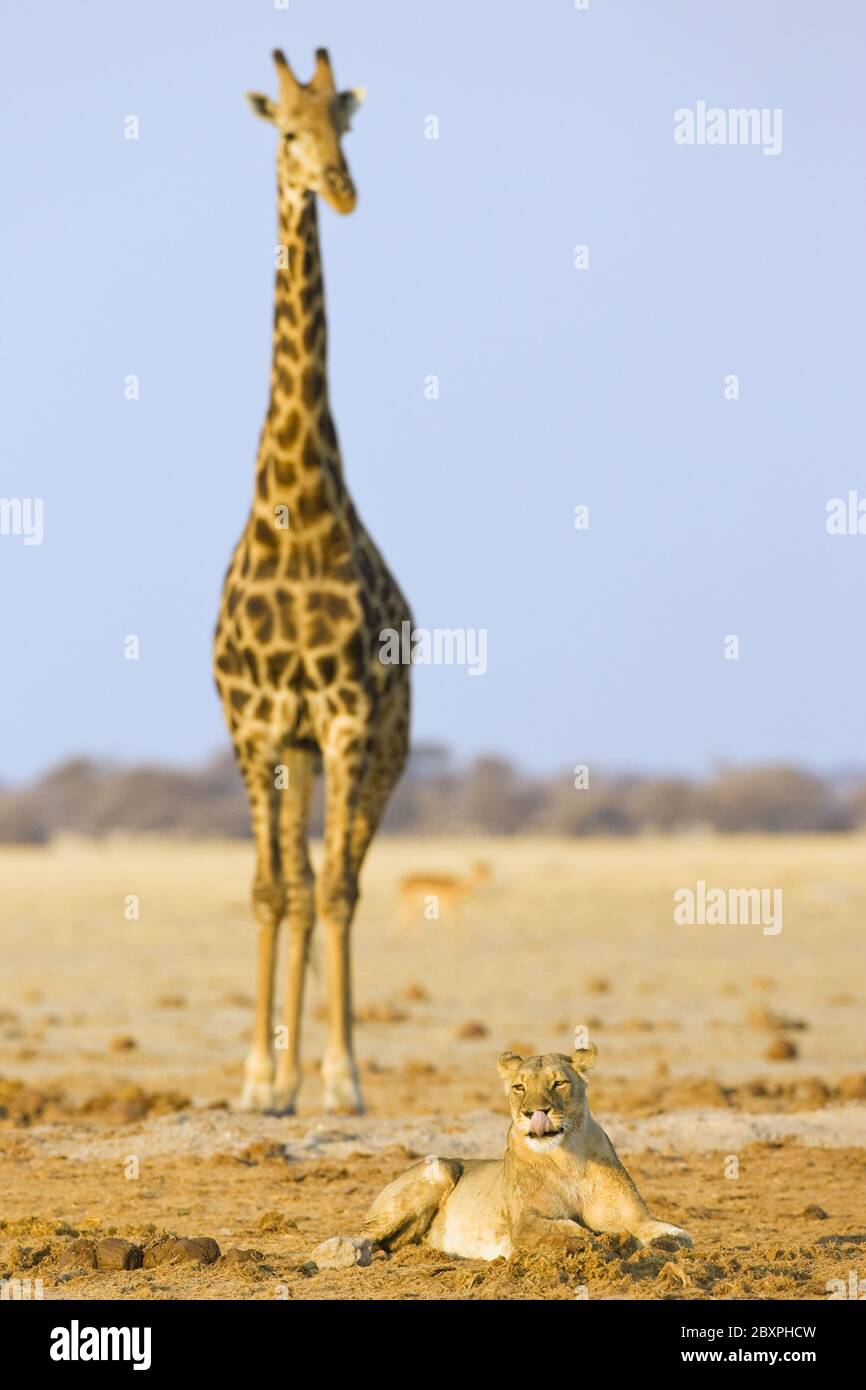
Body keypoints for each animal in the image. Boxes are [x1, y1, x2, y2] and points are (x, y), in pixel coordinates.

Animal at [312, 1046, 691, 1266]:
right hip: (440, 1168)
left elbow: (678, 1237)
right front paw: (610, 1244)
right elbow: (577, 1234)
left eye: (559, 1083)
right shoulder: (524, 1223)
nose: (534, 1113)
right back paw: (340, 1252)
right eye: (519, 1087)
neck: (566, 1158)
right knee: (369, 1234)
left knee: (395, 1243)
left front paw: (655, 1244)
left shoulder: (639, 1218)